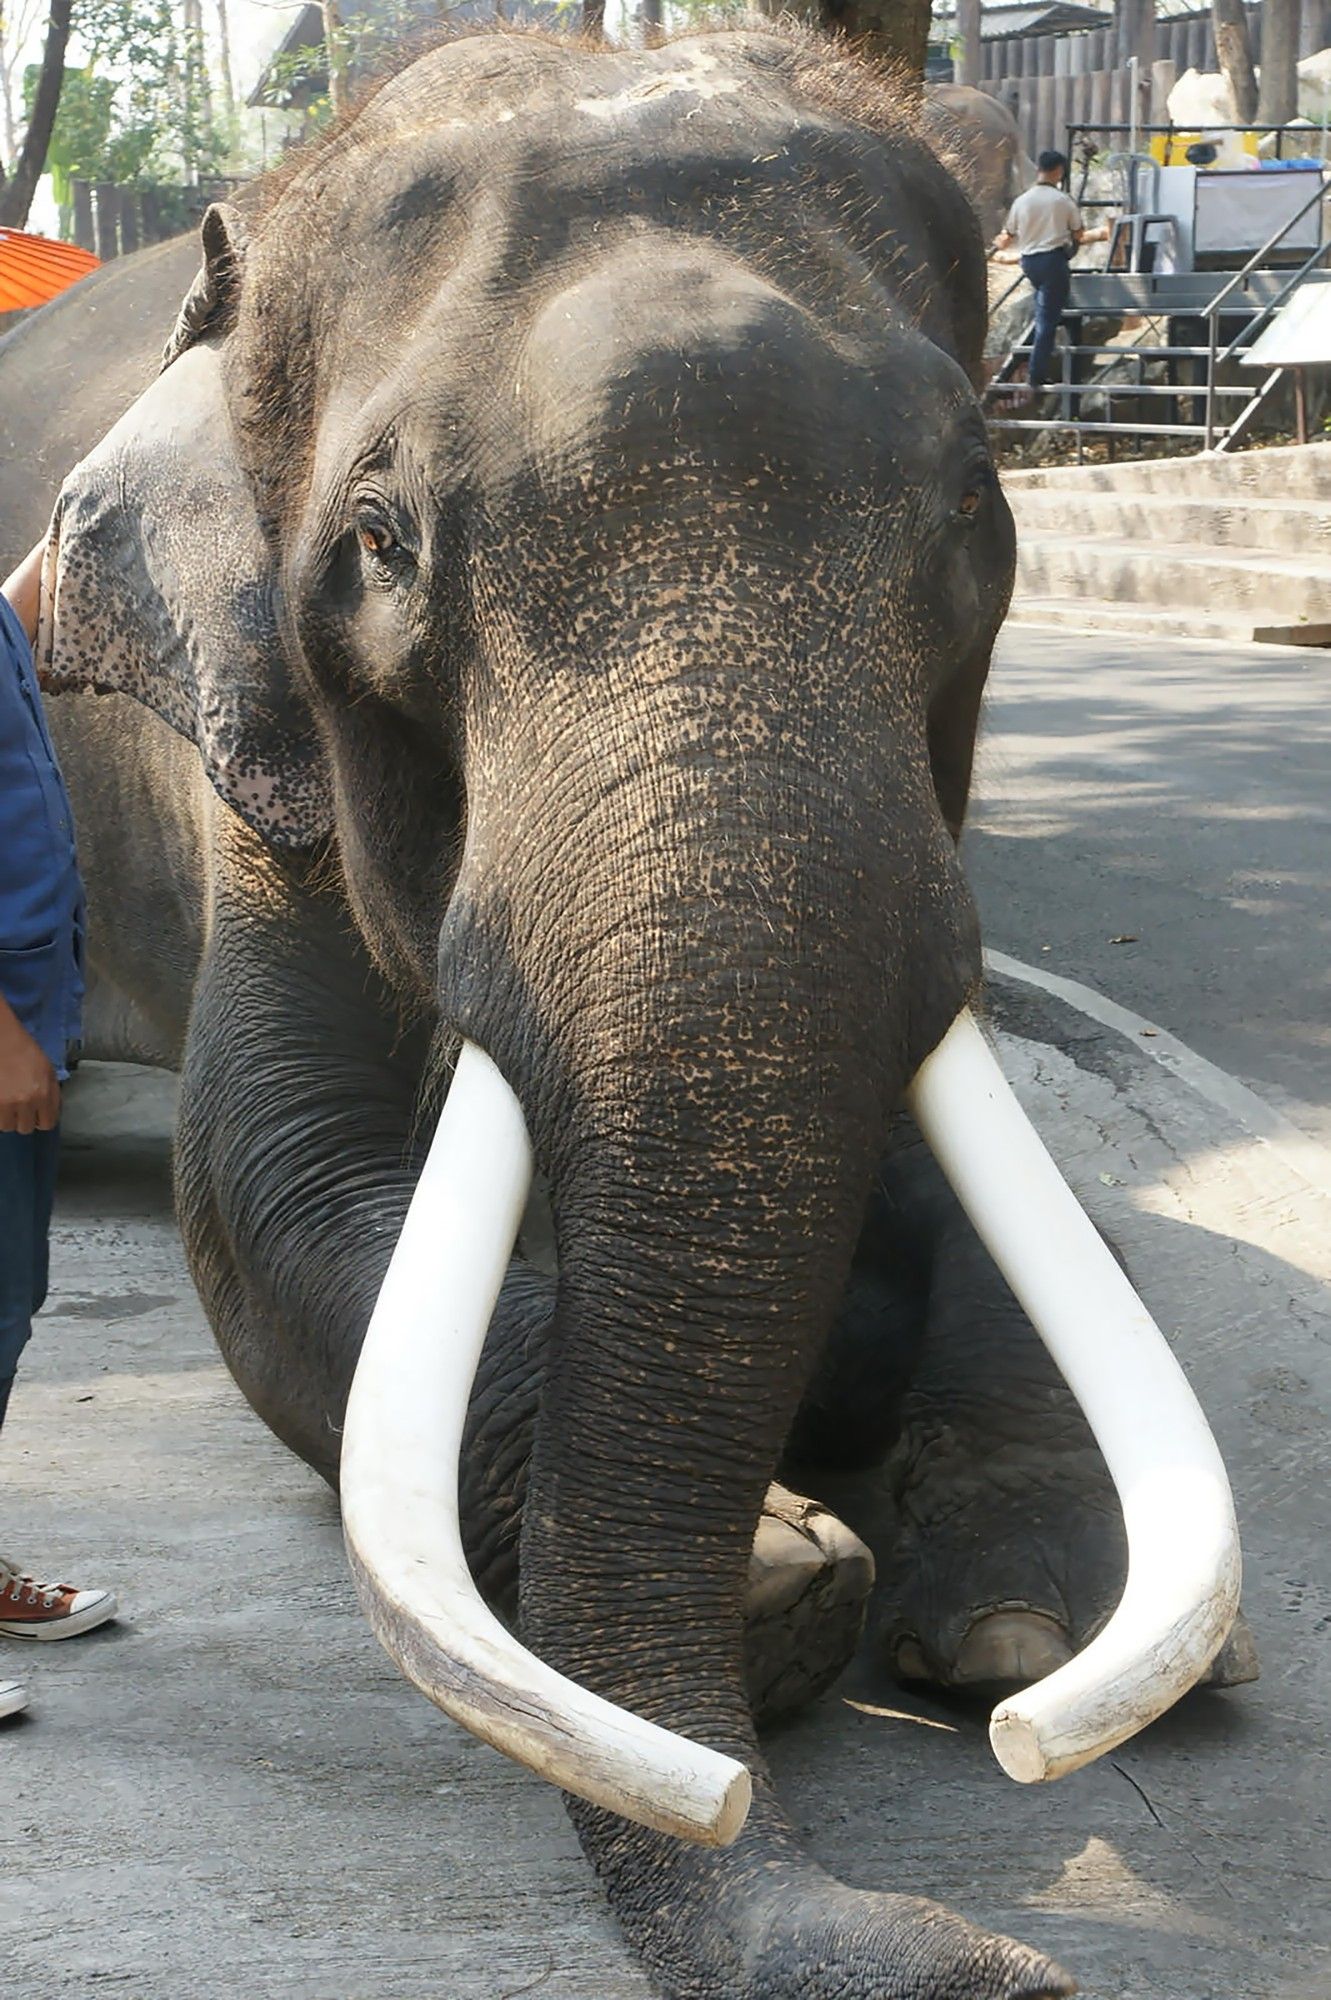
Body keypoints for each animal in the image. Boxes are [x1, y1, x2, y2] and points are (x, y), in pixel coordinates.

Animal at [0, 27, 1251, 2000]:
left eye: (977, 511)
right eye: (376, 543)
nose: (982, 1960)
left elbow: (998, 1192)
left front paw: (1023, 1636)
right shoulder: (247, 759)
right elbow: (268, 1190)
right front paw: (780, 1580)